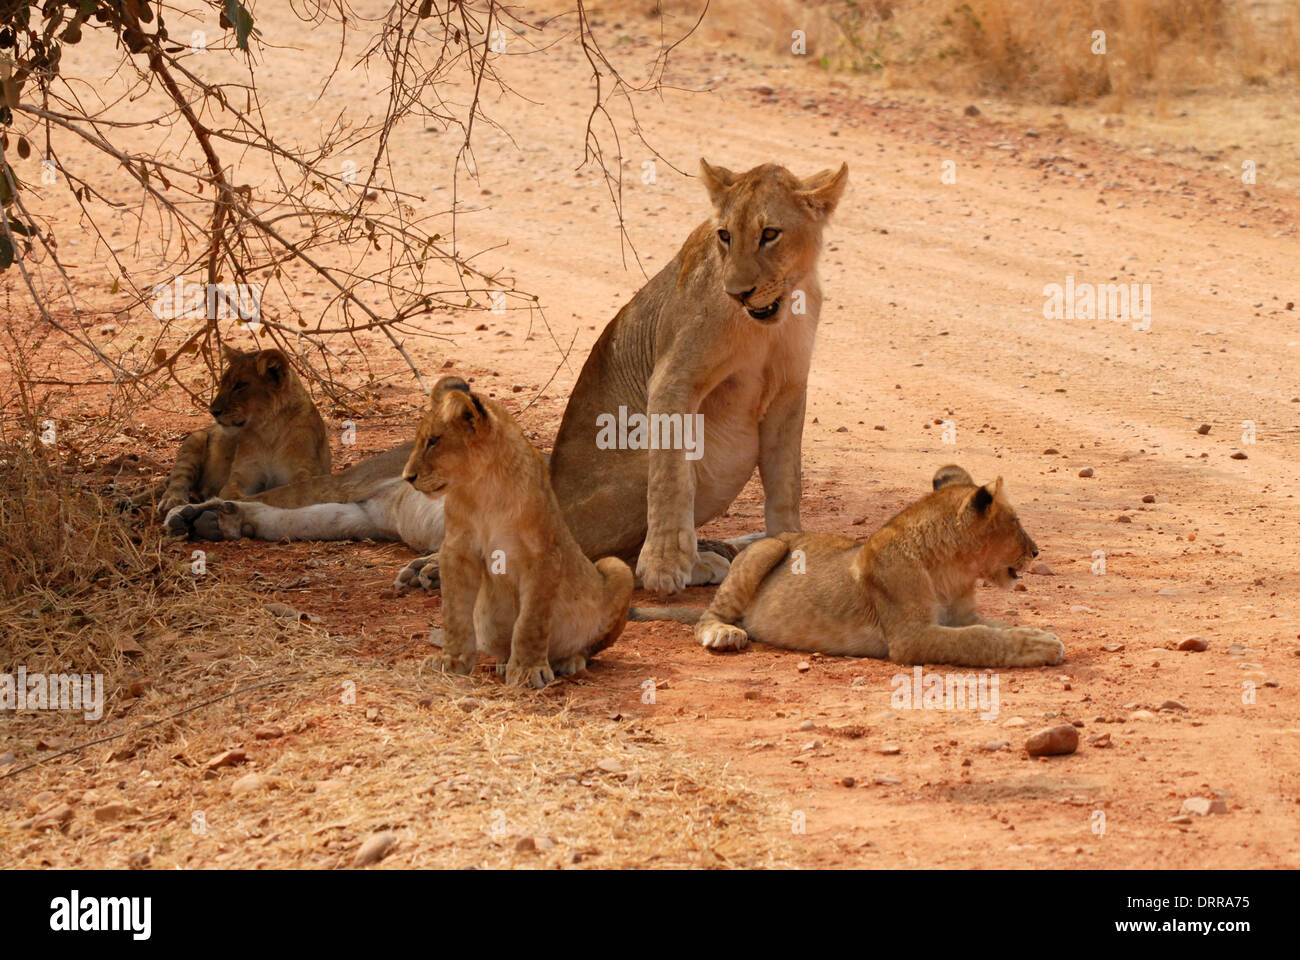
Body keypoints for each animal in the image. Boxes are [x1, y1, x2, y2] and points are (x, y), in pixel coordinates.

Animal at [154, 345, 330, 517]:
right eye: (223, 383)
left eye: (239, 385)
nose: (213, 411)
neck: (269, 431)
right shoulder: (241, 477)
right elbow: (235, 495)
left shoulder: (304, 473)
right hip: (196, 438)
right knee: (177, 479)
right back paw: (174, 500)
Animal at [406, 376, 634, 688]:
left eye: (433, 441)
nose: (407, 477)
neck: (482, 489)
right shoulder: (456, 551)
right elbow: (454, 613)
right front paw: (451, 661)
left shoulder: (543, 556)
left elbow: (530, 621)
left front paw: (528, 670)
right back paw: (504, 662)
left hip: (617, 567)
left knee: (589, 648)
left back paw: (568, 661)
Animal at [629, 466, 1066, 668]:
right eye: (1016, 522)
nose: (1037, 551)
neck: (953, 571)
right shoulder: (911, 638)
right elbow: (979, 640)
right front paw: (1042, 646)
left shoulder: (962, 615)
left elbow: (995, 627)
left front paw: (1041, 634)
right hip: (767, 547)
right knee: (708, 616)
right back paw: (724, 634)